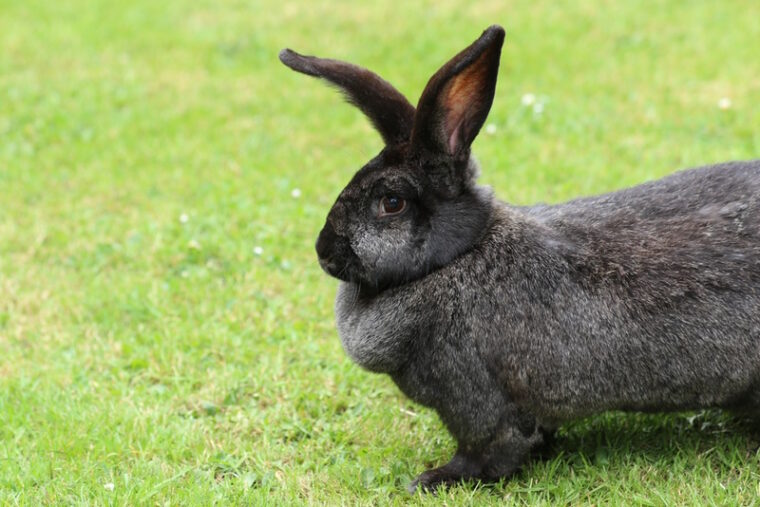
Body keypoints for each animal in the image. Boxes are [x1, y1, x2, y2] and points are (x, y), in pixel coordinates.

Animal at [279, 25, 760, 492]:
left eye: (391, 203)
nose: (324, 252)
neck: (460, 254)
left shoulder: (475, 399)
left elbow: (490, 451)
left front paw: (434, 480)